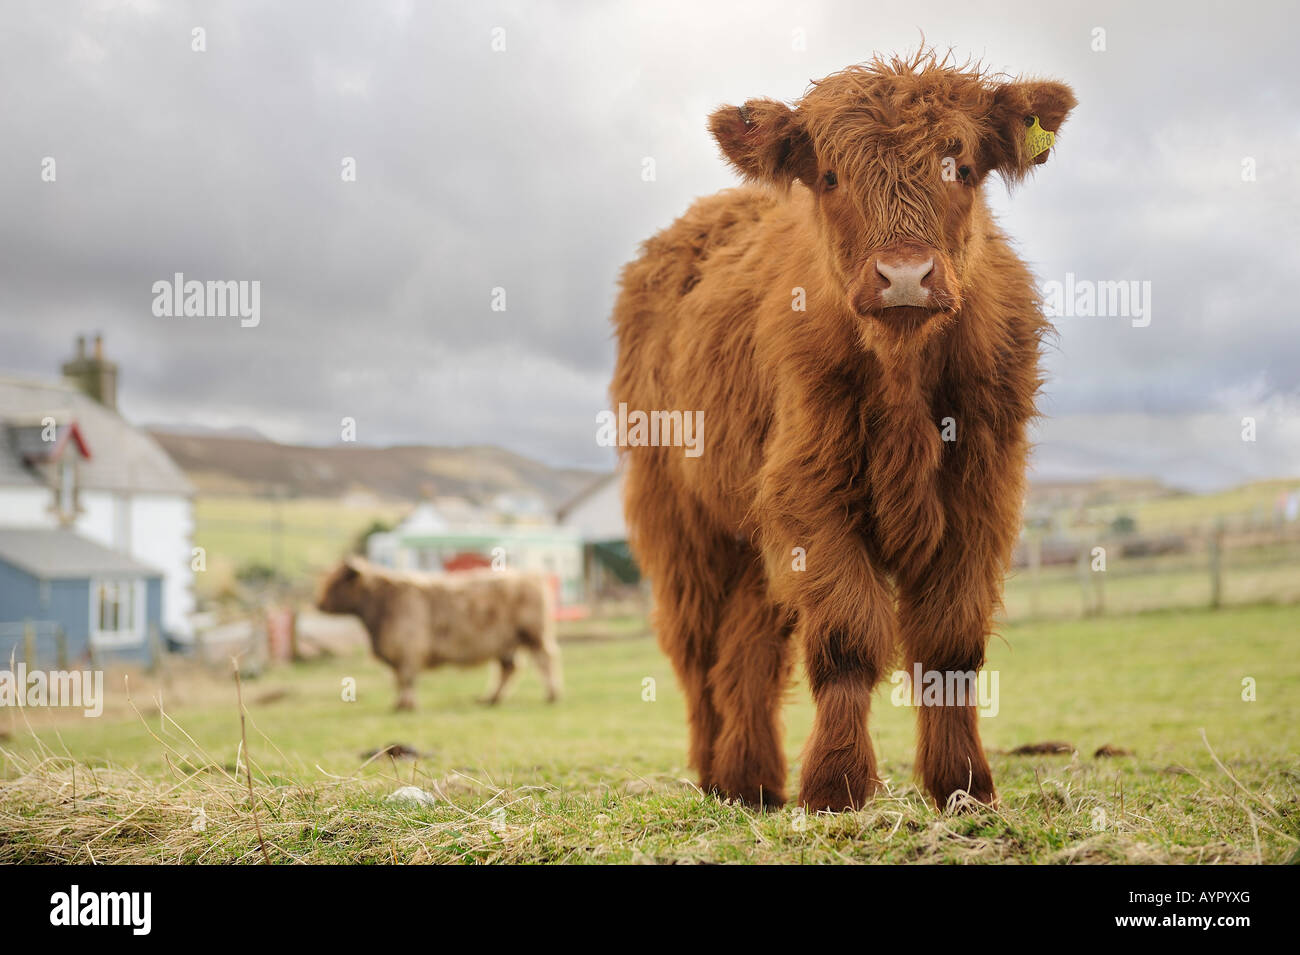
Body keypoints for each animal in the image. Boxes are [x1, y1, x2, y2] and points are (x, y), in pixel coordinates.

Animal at [317, 561, 561, 712]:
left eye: (336, 582)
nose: (319, 604)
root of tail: (528, 576)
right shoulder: (398, 655)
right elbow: (398, 680)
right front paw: (399, 704)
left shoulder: (408, 650)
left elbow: (406, 679)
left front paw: (408, 706)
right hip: (505, 643)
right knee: (509, 669)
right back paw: (491, 699)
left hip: (534, 635)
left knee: (545, 660)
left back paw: (552, 695)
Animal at [608, 50, 1076, 815]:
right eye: (830, 175)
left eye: (961, 166)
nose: (905, 275)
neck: (905, 373)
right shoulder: (809, 494)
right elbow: (848, 638)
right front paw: (837, 785)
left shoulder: (983, 494)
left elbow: (950, 644)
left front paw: (963, 786)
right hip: (679, 516)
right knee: (697, 648)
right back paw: (715, 777)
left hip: (750, 539)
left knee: (748, 651)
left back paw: (752, 780)